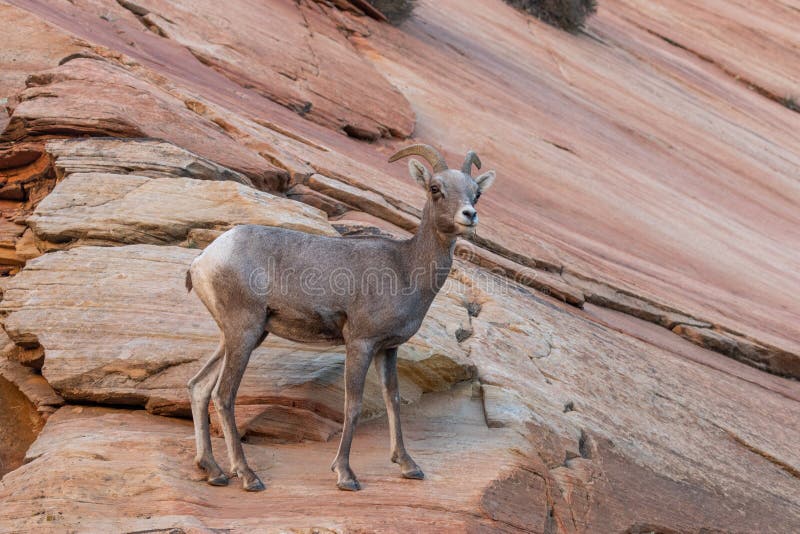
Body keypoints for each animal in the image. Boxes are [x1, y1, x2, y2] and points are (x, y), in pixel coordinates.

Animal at [185, 144, 496, 491]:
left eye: (476, 193)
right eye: (435, 188)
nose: (469, 215)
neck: (406, 269)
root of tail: (203, 260)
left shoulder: (388, 349)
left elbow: (393, 400)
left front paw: (408, 466)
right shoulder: (360, 343)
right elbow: (353, 405)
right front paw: (345, 474)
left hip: (241, 336)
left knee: (199, 387)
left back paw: (213, 470)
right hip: (244, 333)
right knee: (223, 395)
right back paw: (248, 476)